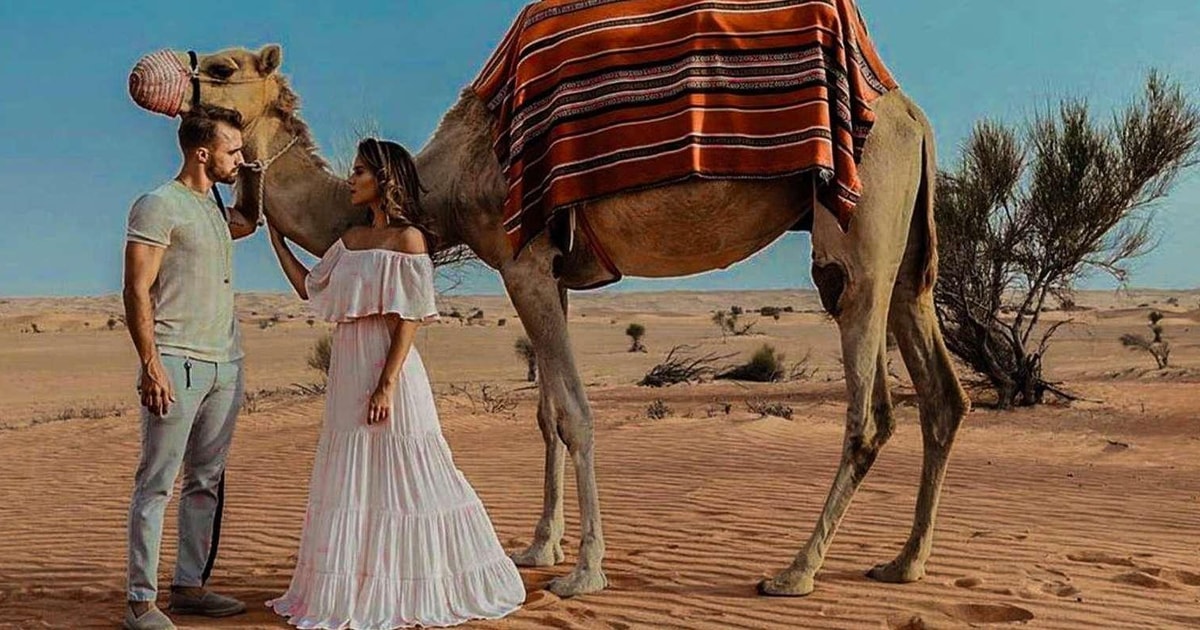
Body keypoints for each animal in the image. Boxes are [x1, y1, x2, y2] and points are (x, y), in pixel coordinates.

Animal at [128, 43, 969, 598]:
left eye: (223, 68)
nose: (148, 76)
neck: (438, 183)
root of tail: (914, 113)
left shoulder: (523, 259)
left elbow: (575, 412)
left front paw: (584, 571)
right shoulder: (547, 274)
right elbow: (546, 415)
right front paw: (538, 546)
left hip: (856, 237)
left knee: (870, 407)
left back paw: (795, 571)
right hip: (908, 255)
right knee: (943, 396)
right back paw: (905, 563)